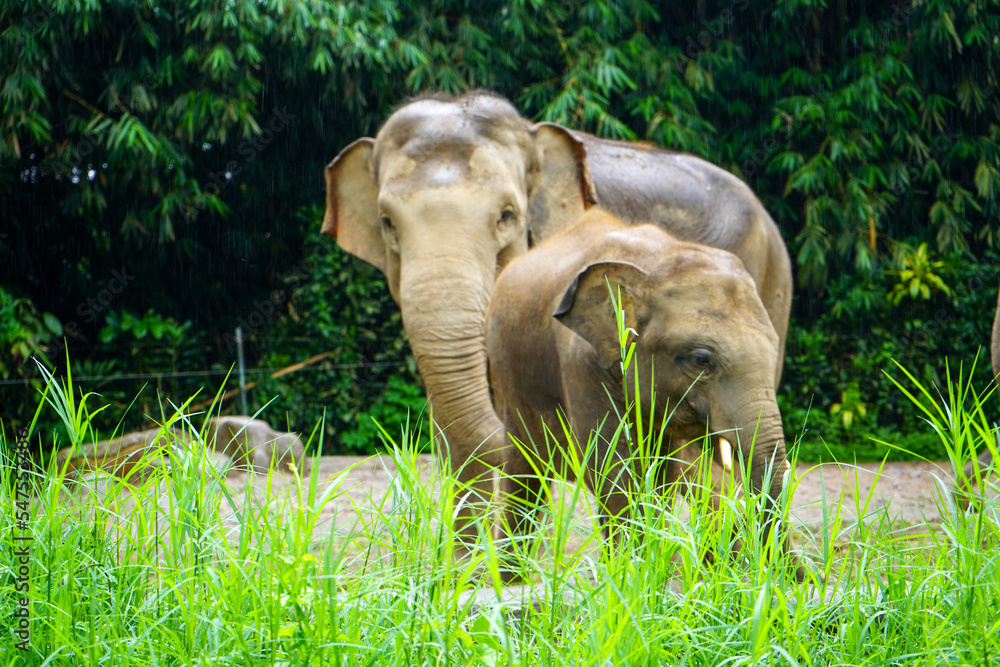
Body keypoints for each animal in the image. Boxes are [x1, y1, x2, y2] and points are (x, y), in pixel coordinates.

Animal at [485, 208, 802, 580]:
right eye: (702, 360)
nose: (797, 580)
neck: (655, 265)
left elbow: (661, 475)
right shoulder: (582, 361)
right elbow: (614, 472)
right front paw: (631, 576)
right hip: (510, 378)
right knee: (524, 475)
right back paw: (510, 582)